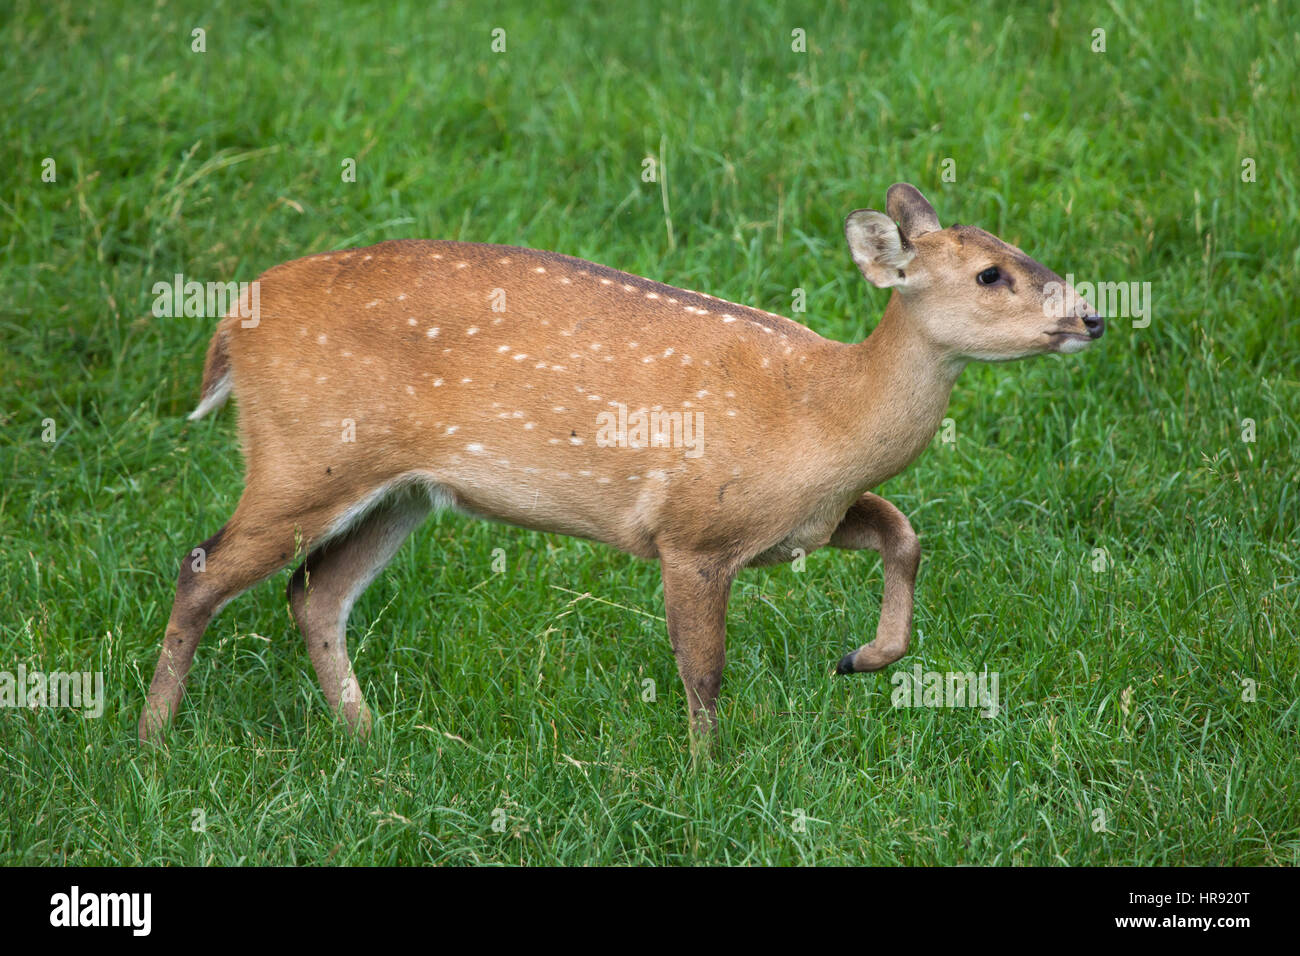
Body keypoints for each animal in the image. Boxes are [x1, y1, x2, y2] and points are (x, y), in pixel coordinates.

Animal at [139, 183, 1102, 747]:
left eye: (1024, 251)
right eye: (990, 274)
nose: (1091, 317)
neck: (824, 412)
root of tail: (231, 325)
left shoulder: (806, 521)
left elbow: (904, 534)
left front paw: (863, 658)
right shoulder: (694, 530)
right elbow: (704, 671)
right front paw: (711, 777)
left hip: (402, 489)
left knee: (314, 591)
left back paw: (368, 736)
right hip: (304, 452)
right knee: (201, 567)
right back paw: (152, 742)